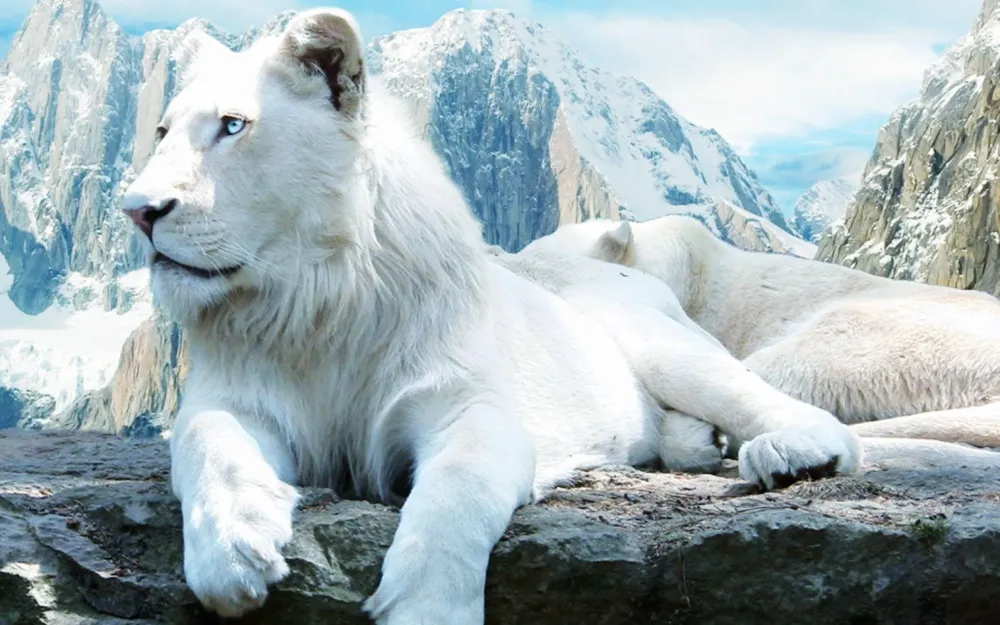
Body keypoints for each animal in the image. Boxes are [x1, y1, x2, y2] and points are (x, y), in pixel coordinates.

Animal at [119, 8, 863, 623]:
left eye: (233, 126)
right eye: (161, 131)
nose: (137, 210)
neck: (313, 300)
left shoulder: (467, 404)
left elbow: (455, 496)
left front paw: (425, 611)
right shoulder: (235, 398)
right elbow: (209, 444)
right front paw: (233, 552)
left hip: (664, 345)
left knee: (783, 407)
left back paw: (790, 454)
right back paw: (698, 444)